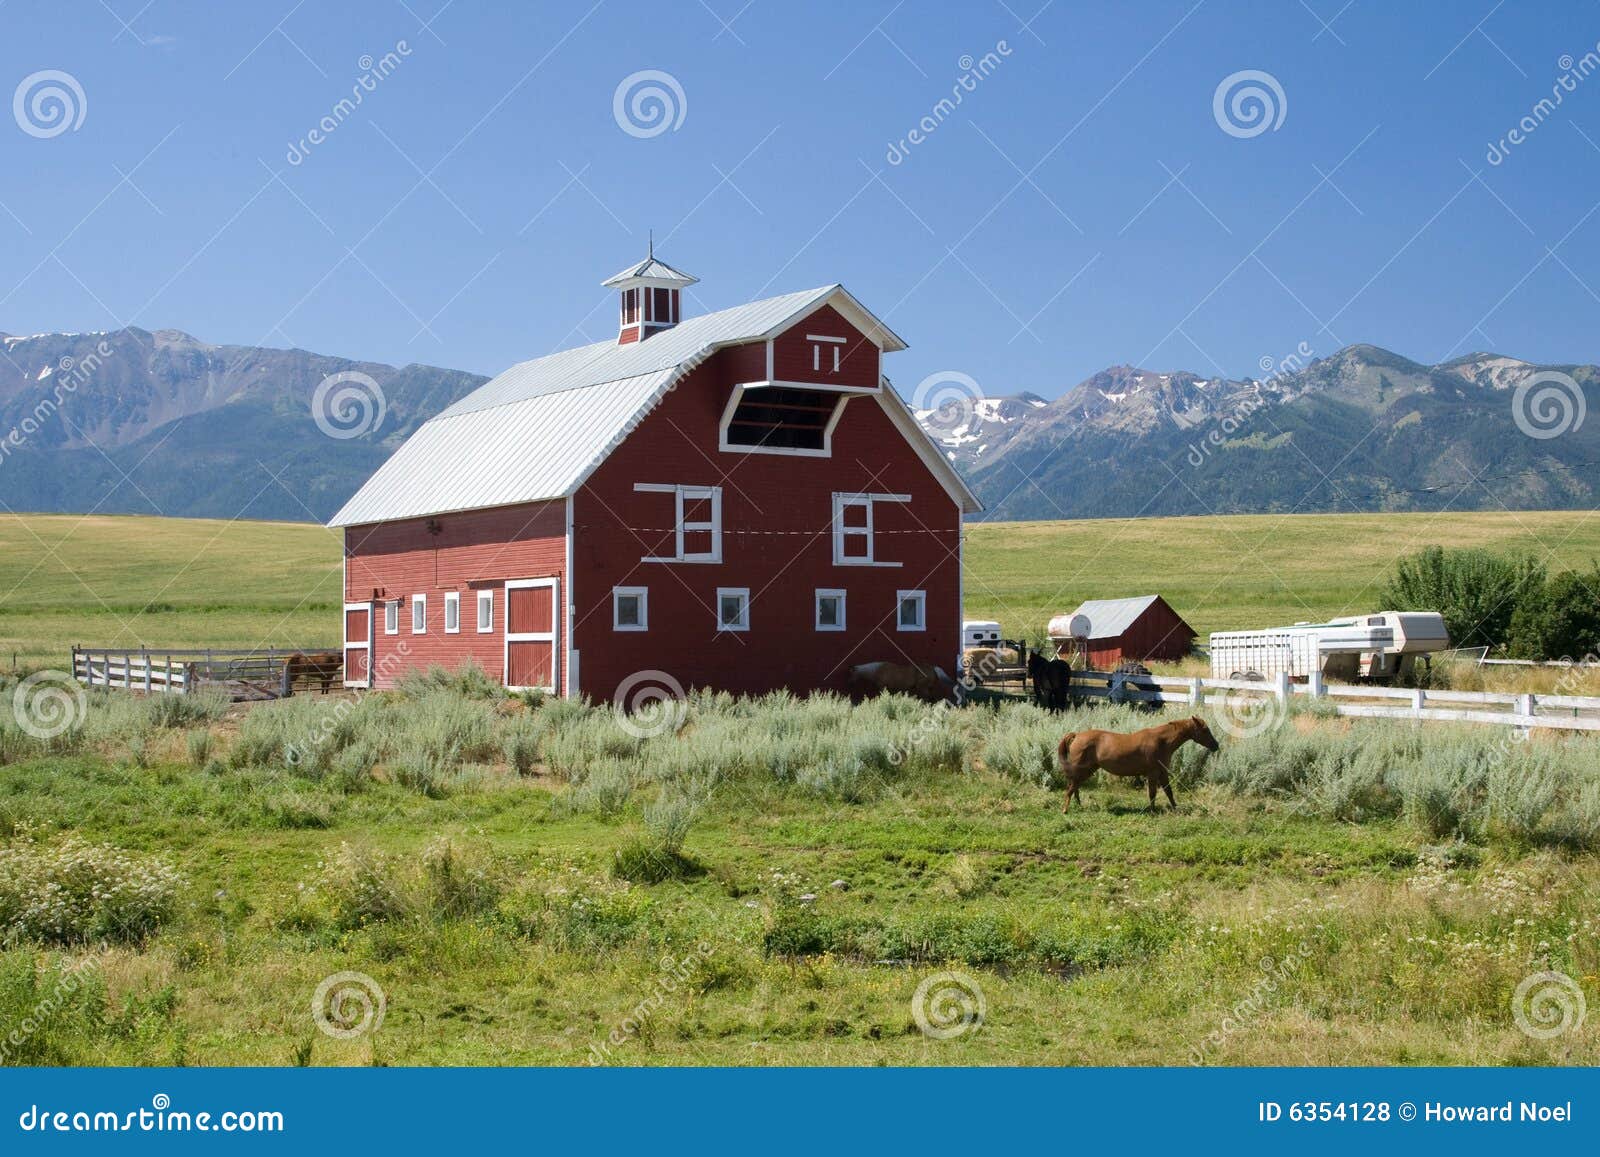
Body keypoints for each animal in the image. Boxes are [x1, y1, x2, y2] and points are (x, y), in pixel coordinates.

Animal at [1056, 716, 1219, 811]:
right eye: (1205, 730)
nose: (1216, 745)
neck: (1162, 741)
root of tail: (1077, 735)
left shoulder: (1162, 772)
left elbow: (1168, 791)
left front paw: (1175, 808)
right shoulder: (1153, 773)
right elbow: (1152, 793)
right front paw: (1152, 810)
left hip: (1087, 770)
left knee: (1075, 787)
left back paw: (1078, 805)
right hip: (1082, 770)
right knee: (1071, 788)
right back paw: (1065, 810)